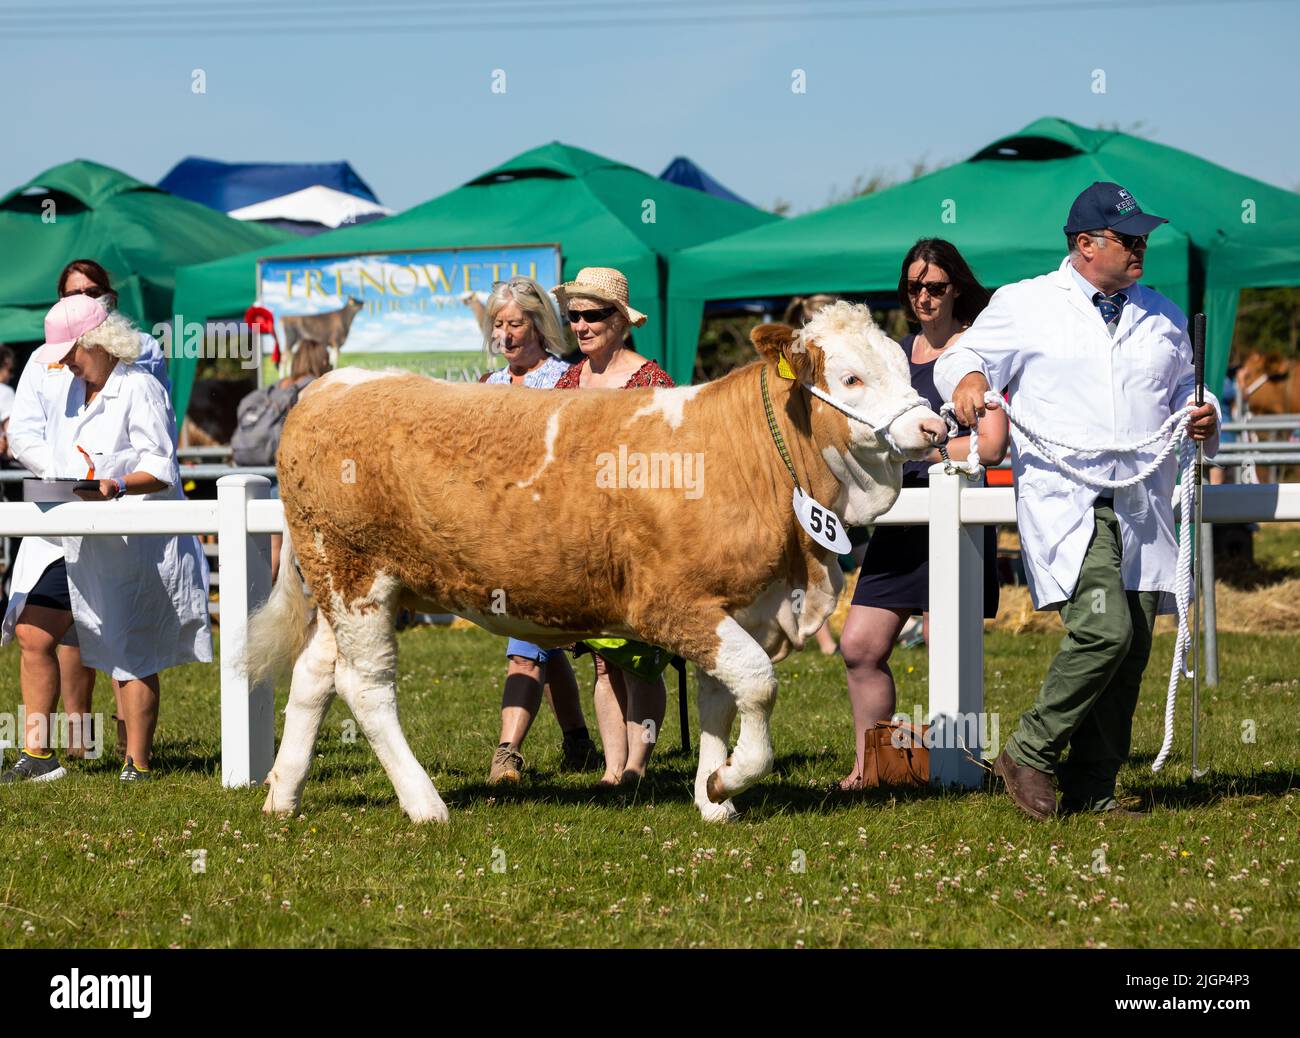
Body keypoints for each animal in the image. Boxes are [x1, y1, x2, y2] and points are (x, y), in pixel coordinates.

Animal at [244, 301, 946, 823]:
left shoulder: (739, 603)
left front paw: (712, 796)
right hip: (353, 576)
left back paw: (283, 795)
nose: (935, 429)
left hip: (354, 588)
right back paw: (425, 804)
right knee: (366, 686)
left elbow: (719, 699)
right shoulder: (672, 604)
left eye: (902, 367)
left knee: (315, 675)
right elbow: (756, 682)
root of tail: (334, 384)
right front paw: (730, 780)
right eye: (851, 378)